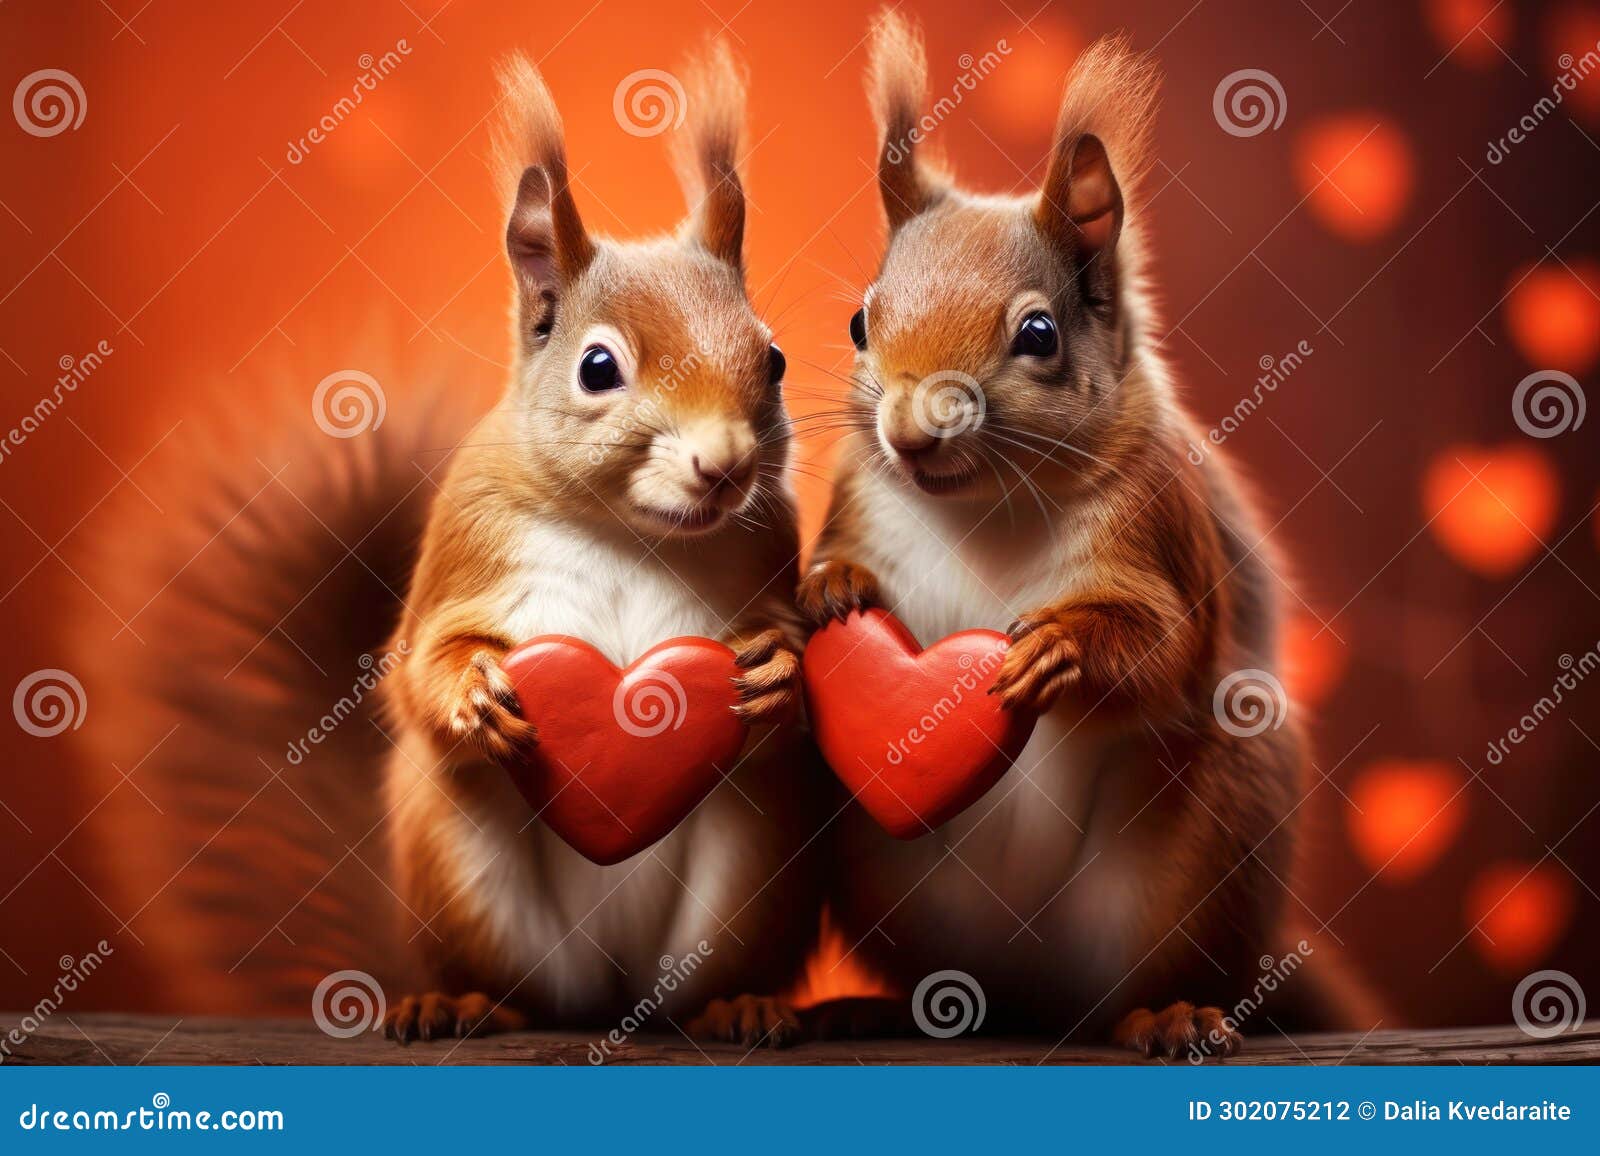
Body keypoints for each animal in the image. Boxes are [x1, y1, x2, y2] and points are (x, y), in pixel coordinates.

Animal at [69, 44, 832, 1049]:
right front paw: (471, 690)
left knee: (702, 976)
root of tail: (614, 998)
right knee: (517, 988)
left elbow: (798, 670)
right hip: (459, 863)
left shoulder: (769, 550)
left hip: (754, 871)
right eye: (598, 367)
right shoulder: (462, 552)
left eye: (772, 359)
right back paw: (459, 1005)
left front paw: (776, 668)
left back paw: (738, 1005)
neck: (635, 535)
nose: (726, 464)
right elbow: (415, 669)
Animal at [795, 12, 1379, 1057]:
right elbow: (836, 562)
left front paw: (1063, 647)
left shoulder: (1157, 525)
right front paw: (830, 588)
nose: (910, 432)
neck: (985, 506)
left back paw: (1169, 1014)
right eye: (861, 322)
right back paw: (877, 1009)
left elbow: (1166, 645)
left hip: (1205, 848)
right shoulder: (864, 495)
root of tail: (1028, 987)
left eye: (1038, 335)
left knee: (1156, 980)